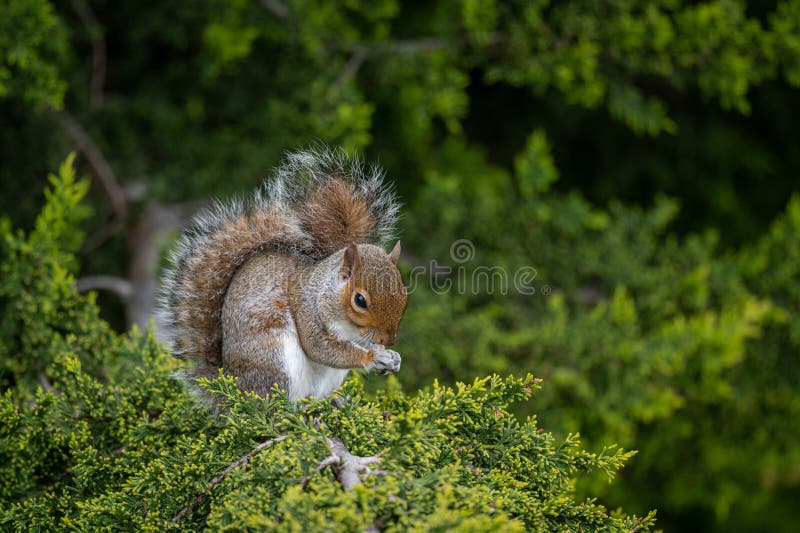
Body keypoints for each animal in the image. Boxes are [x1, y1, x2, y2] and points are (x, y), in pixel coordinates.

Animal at [158, 146, 407, 401]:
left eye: (404, 292)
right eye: (360, 300)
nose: (389, 340)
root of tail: (230, 386)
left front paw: (391, 357)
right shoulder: (307, 309)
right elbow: (320, 347)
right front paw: (372, 357)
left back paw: (333, 401)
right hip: (275, 358)